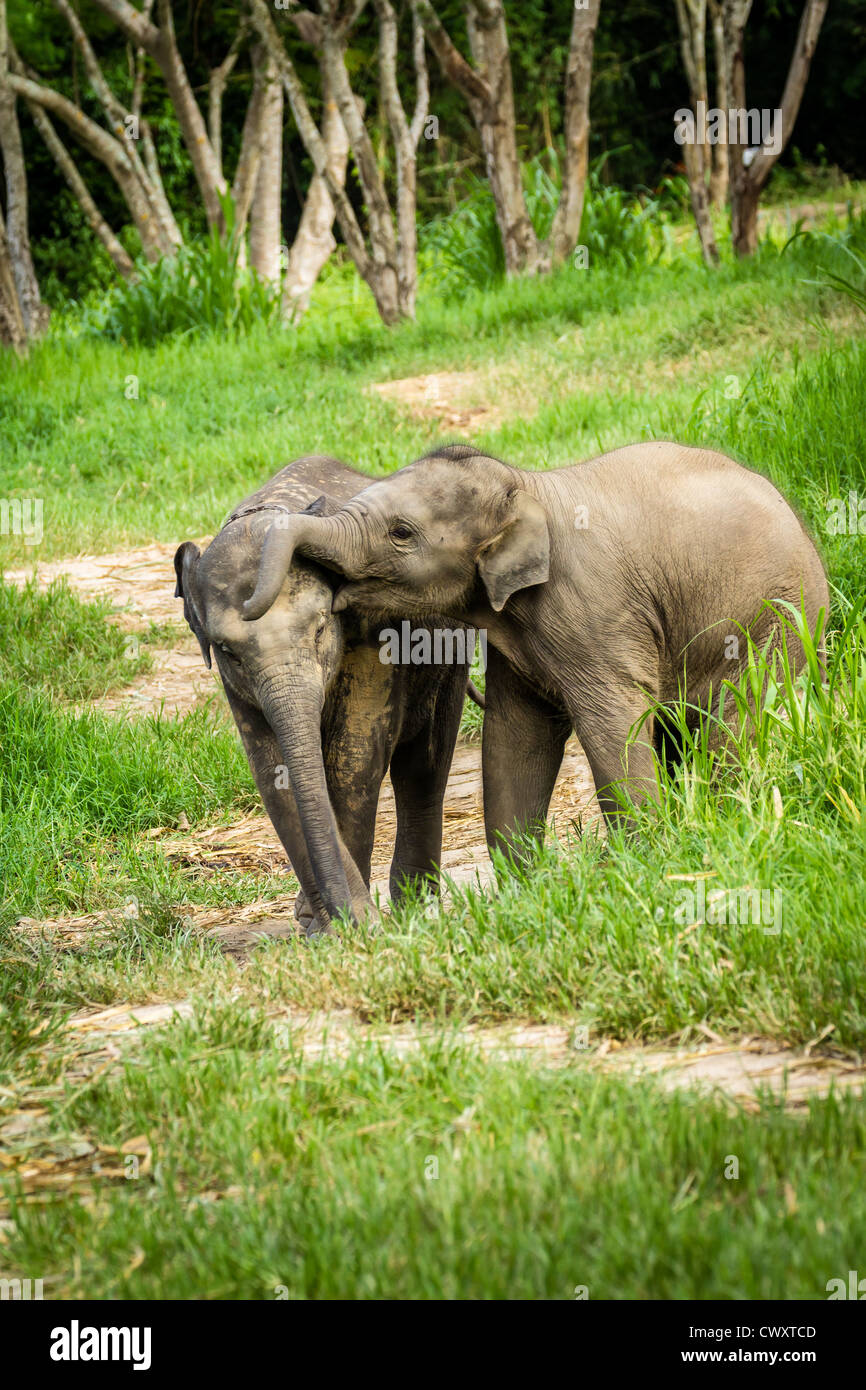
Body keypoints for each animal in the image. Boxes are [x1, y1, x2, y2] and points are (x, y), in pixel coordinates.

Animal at [174, 455, 474, 933]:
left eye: (319, 630)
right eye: (227, 651)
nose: (338, 917)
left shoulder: (373, 628)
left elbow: (353, 757)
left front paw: (357, 924)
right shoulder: (234, 684)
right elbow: (271, 768)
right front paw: (329, 925)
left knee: (424, 764)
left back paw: (416, 907)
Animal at [241, 441, 829, 855]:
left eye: (401, 533)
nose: (249, 605)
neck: (527, 488)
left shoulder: (594, 612)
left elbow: (613, 724)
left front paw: (651, 859)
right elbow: (515, 735)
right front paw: (524, 887)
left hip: (776, 620)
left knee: (733, 723)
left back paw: (730, 817)